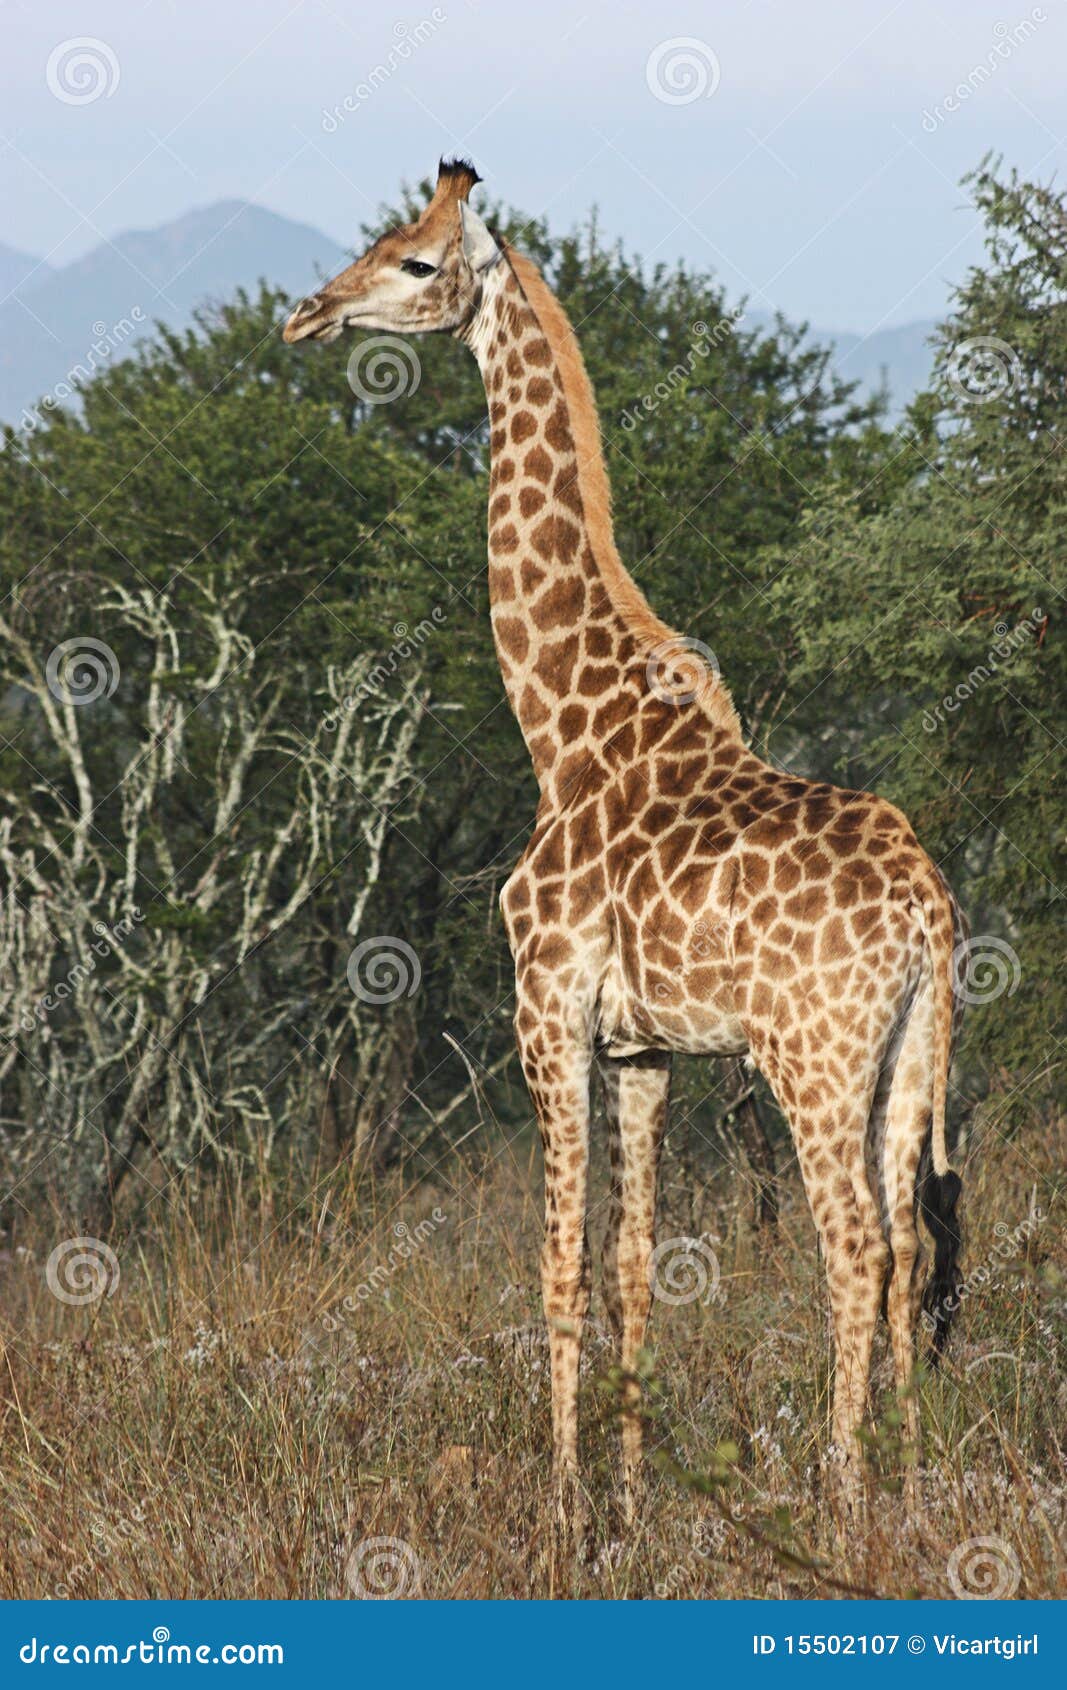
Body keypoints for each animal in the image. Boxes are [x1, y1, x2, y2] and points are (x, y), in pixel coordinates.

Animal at [283, 159, 966, 1532]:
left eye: (416, 262)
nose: (307, 315)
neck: (559, 721)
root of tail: (927, 908)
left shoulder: (544, 1010)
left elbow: (557, 1263)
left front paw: (559, 1511)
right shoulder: (647, 1048)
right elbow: (638, 1266)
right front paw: (636, 1500)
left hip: (811, 1055)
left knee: (853, 1242)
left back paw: (843, 1492)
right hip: (907, 1051)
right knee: (912, 1237)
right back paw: (915, 1480)